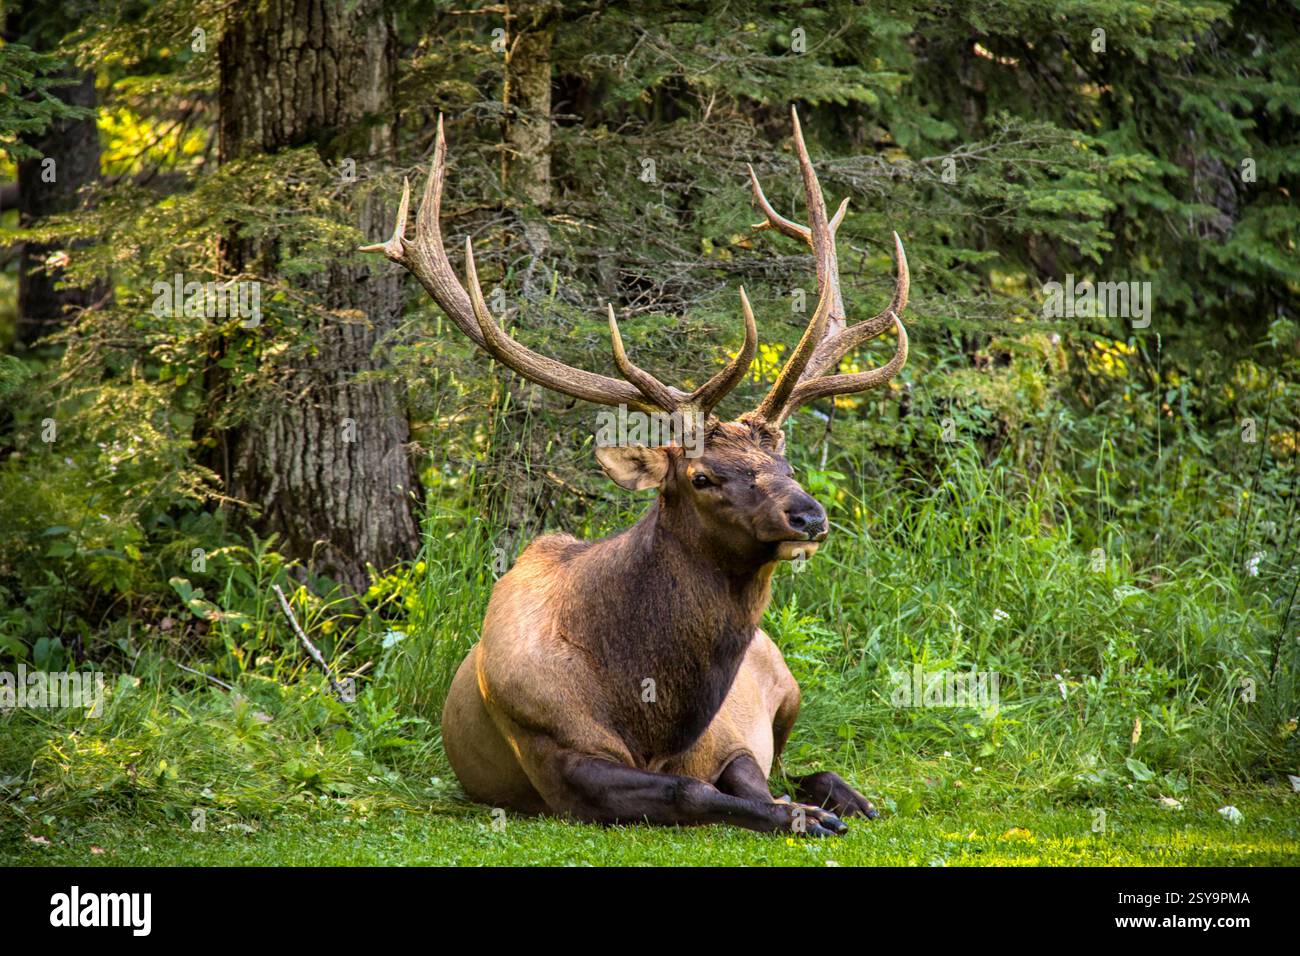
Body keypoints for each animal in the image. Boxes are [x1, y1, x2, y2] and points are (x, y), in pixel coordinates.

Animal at [362, 107, 909, 836]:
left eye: (786, 461)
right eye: (702, 477)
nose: (809, 515)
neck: (652, 713)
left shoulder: (728, 736)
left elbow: (748, 780)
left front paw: (807, 811)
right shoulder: (558, 758)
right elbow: (693, 793)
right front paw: (801, 818)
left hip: (788, 688)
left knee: (805, 763)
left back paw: (851, 798)